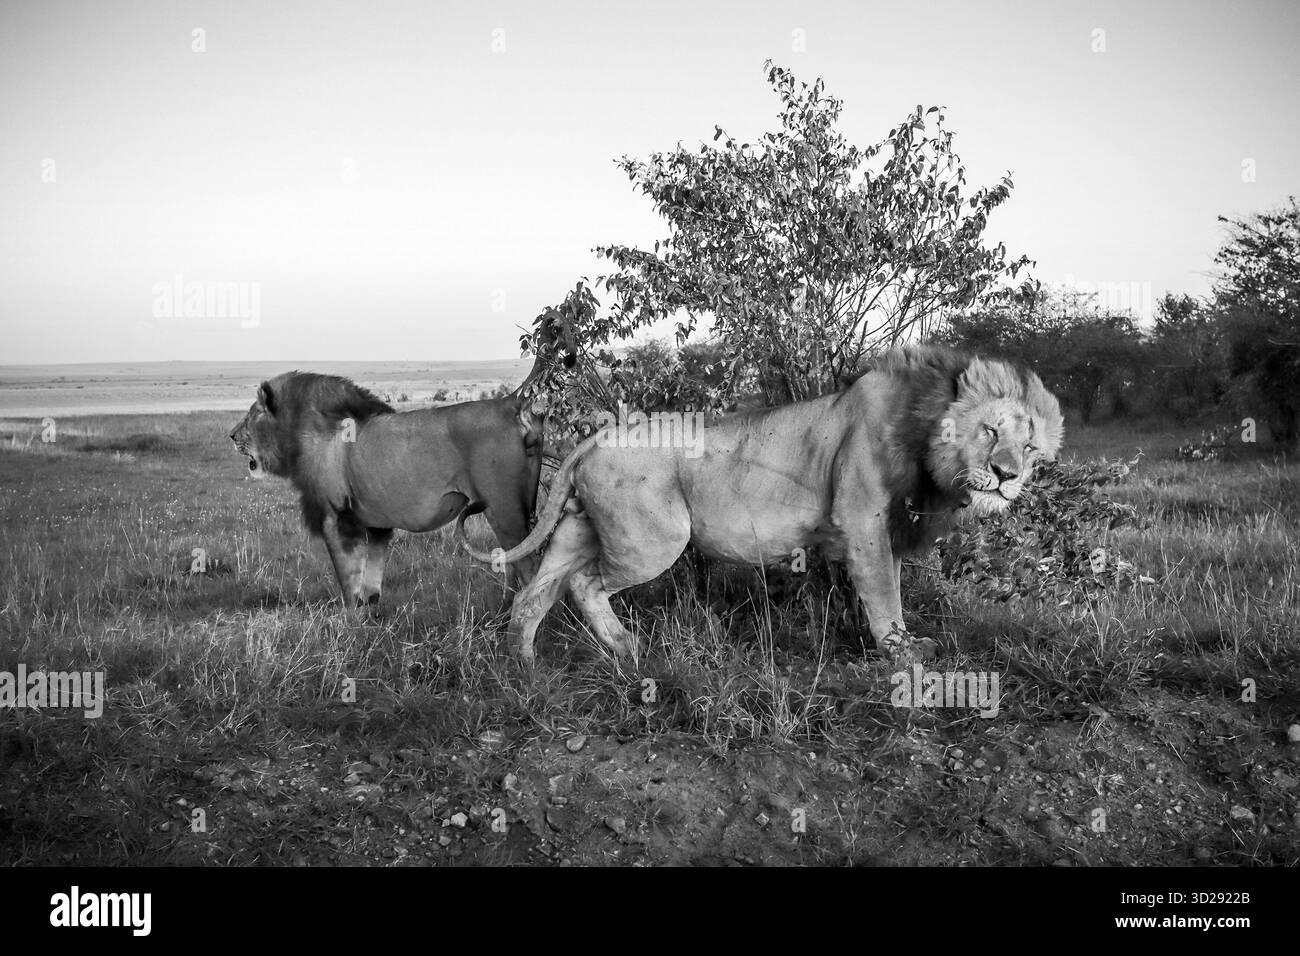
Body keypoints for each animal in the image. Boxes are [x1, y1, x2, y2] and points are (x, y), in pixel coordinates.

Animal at [230, 314, 576, 608]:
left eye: (251, 415)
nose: (231, 435)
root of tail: (509, 401)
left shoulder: (335, 516)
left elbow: (347, 581)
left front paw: (349, 621)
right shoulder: (376, 523)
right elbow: (371, 581)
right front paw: (370, 617)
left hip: (503, 509)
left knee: (530, 568)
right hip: (525, 505)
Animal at [459, 345, 1063, 664]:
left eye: (1031, 447)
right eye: (990, 431)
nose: (1008, 477)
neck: (923, 428)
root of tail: (599, 435)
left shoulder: (889, 531)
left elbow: (891, 588)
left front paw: (907, 644)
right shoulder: (864, 523)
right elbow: (885, 595)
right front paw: (901, 655)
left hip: (578, 527)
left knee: (536, 591)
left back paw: (526, 666)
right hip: (653, 541)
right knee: (583, 585)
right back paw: (627, 648)